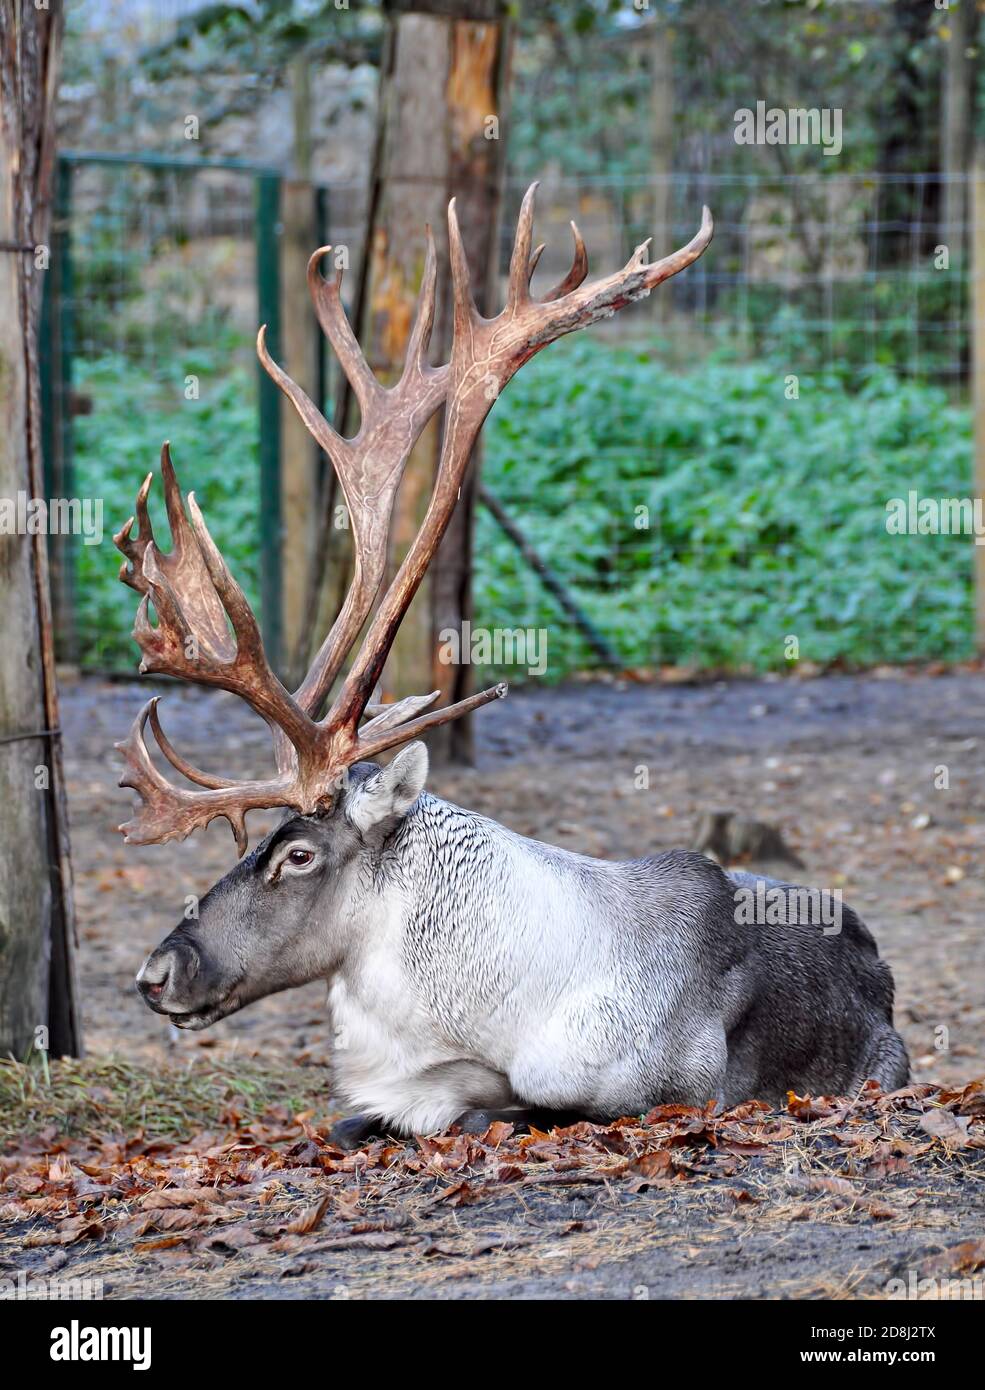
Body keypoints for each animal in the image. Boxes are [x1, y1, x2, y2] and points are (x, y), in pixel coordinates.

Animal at [116, 184, 909, 1147]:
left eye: (297, 855)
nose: (157, 972)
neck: (469, 1016)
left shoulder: (660, 1092)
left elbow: (491, 1115)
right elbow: (355, 1121)